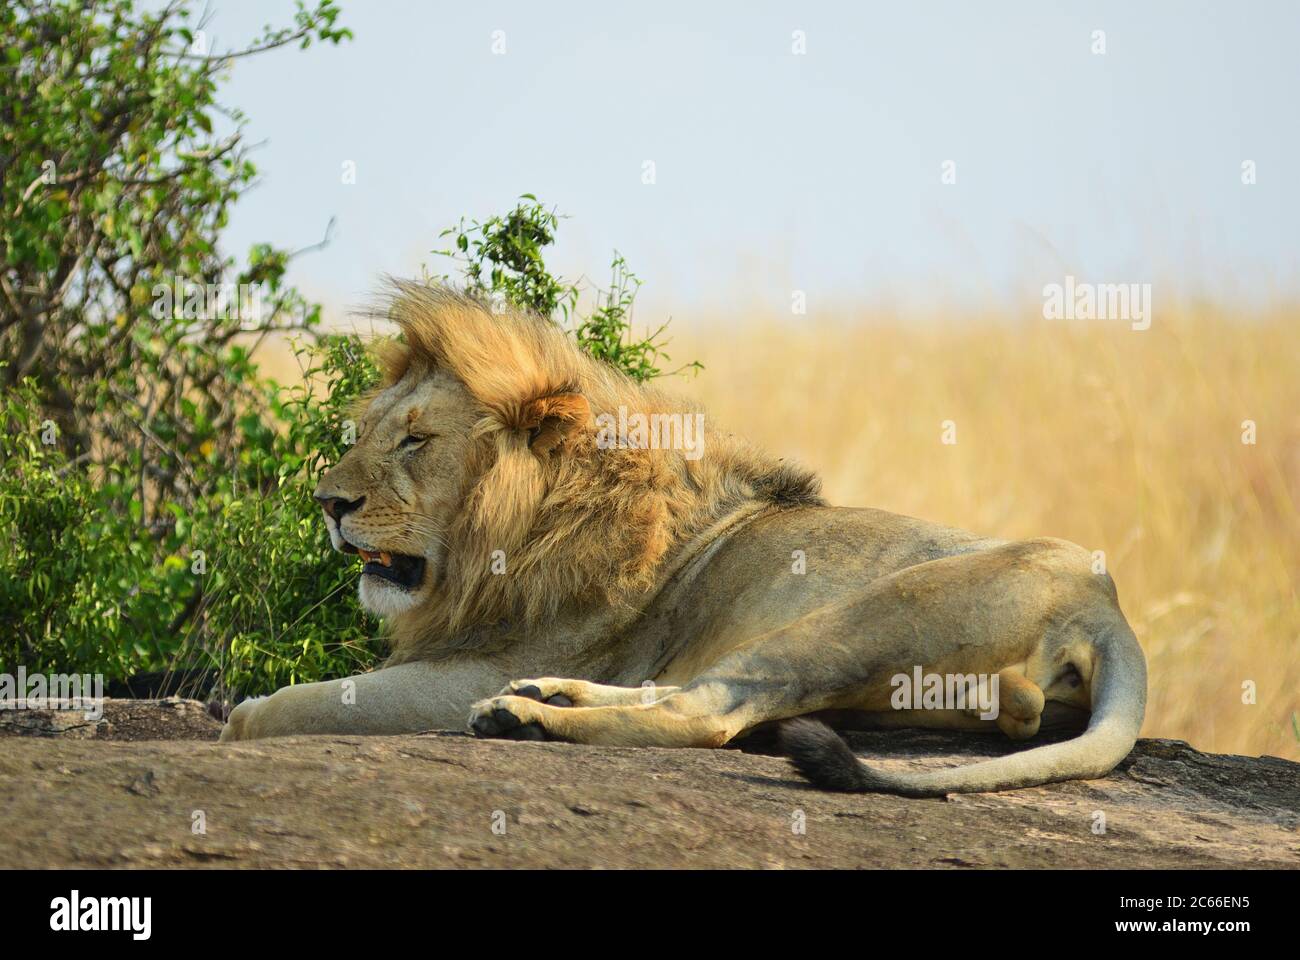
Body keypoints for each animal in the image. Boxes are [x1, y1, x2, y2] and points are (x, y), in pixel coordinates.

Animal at [219, 282, 1148, 797]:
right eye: (367, 432)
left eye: (415, 441)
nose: (327, 502)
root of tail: (1108, 606)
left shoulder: (469, 669)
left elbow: (298, 702)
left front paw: (238, 723)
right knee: (686, 691)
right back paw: (546, 698)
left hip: (865, 615)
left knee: (705, 715)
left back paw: (525, 719)